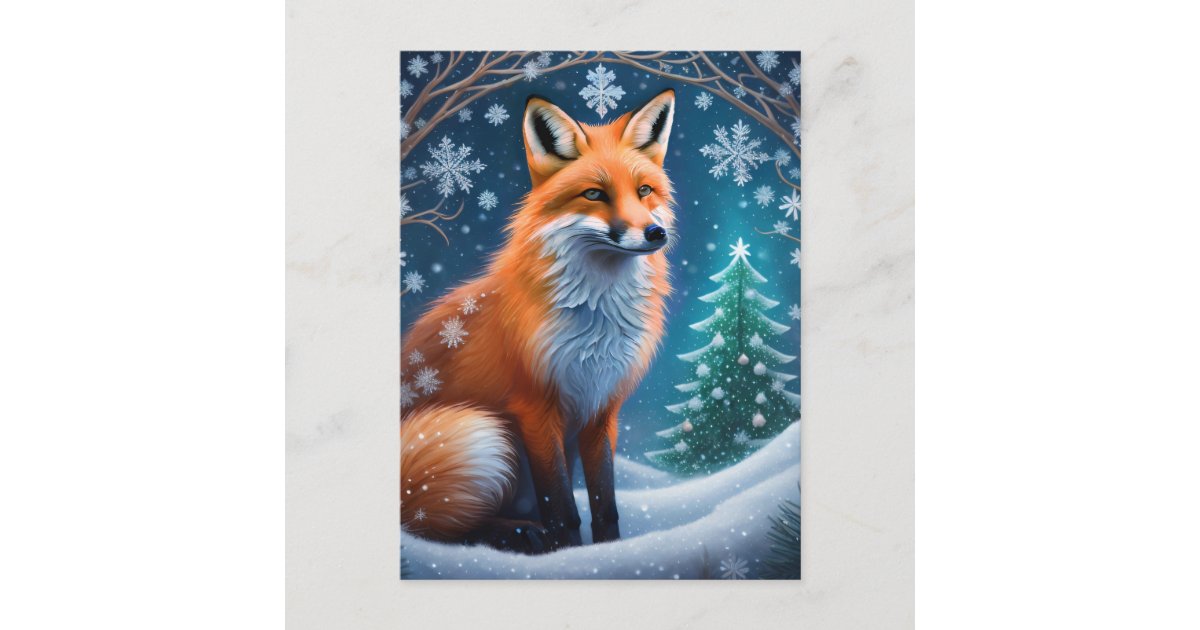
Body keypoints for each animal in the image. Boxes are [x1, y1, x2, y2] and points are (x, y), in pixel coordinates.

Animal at [400, 89, 677, 553]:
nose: (656, 233)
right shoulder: (535, 407)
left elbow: (605, 502)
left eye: (644, 191)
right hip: (481, 433)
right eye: (594, 194)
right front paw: (567, 555)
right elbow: (562, 508)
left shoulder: (601, 407)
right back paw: (517, 534)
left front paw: (607, 553)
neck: (597, 323)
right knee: (432, 527)